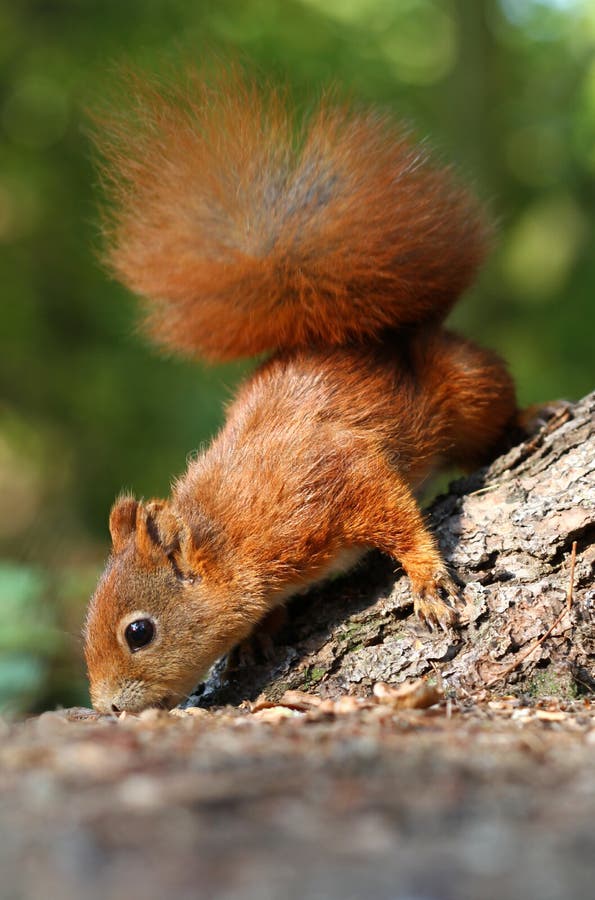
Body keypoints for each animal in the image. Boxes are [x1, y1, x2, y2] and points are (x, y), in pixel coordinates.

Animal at [84, 65, 520, 715]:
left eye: (139, 632)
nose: (107, 708)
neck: (229, 536)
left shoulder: (326, 480)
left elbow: (394, 513)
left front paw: (427, 578)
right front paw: (257, 634)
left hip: (464, 389)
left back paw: (537, 414)